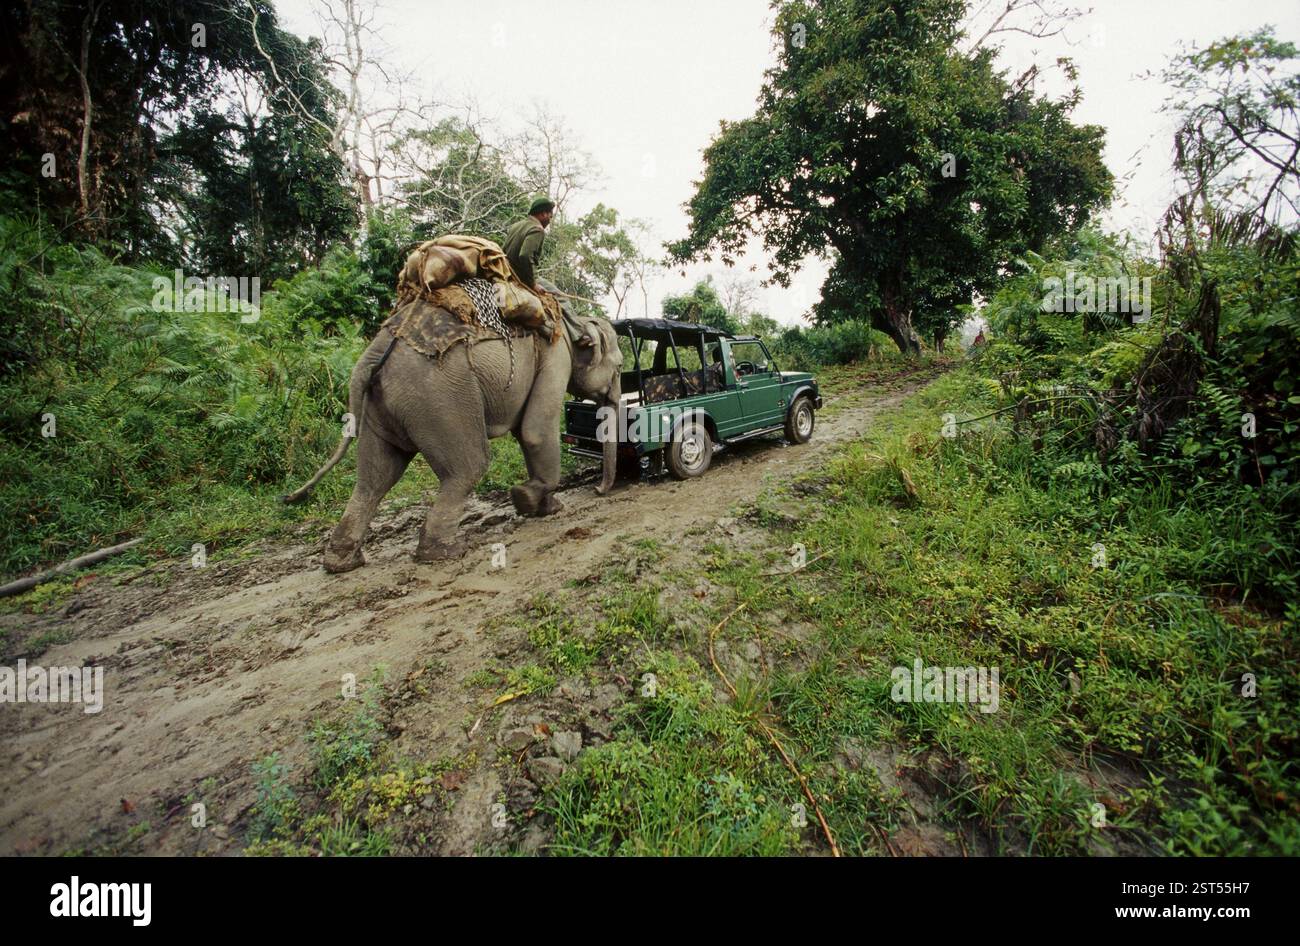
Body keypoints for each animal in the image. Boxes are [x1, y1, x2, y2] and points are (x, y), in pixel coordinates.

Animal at [282, 306, 623, 573]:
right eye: (620, 366)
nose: (598, 490)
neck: (574, 320)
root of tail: (371, 356)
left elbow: (525, 432)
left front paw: (546, 507)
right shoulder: (555, 356)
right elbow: (535, 430)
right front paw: (528, 499)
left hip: (381, 407)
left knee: (375, 478)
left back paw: (341, 563)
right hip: (440, 397)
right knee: (468, 467)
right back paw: (444, 552)